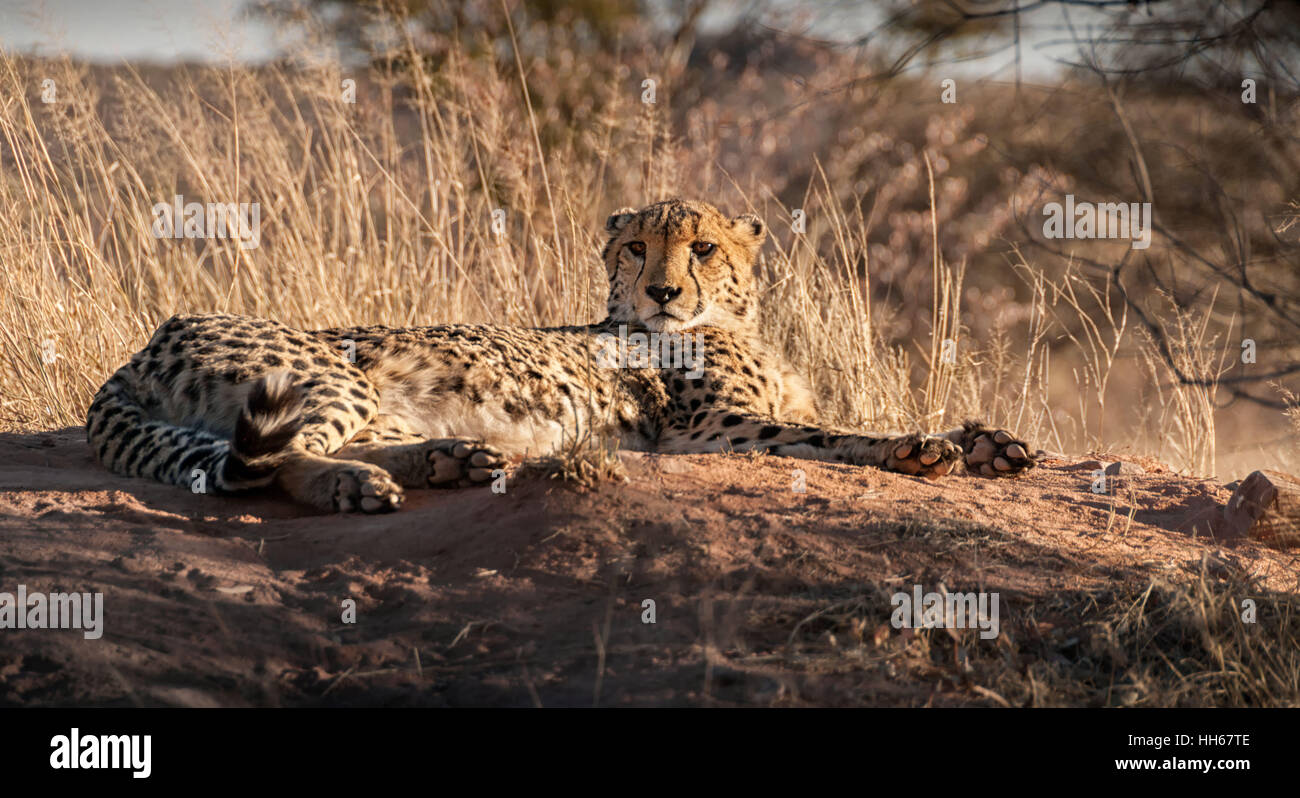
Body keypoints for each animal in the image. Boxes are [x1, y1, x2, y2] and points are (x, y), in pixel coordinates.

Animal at [86, 198, 1036, 513]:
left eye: (702, 248)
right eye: (636, 248)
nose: (663, 293)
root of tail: (151, 337)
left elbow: (845, 416)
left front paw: (991, 440)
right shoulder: (709, 432)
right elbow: (842, 436)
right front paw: (920, 446)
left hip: (365, 398)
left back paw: (451, 459)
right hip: (331, 373)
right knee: (279, 461)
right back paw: (354, 485)